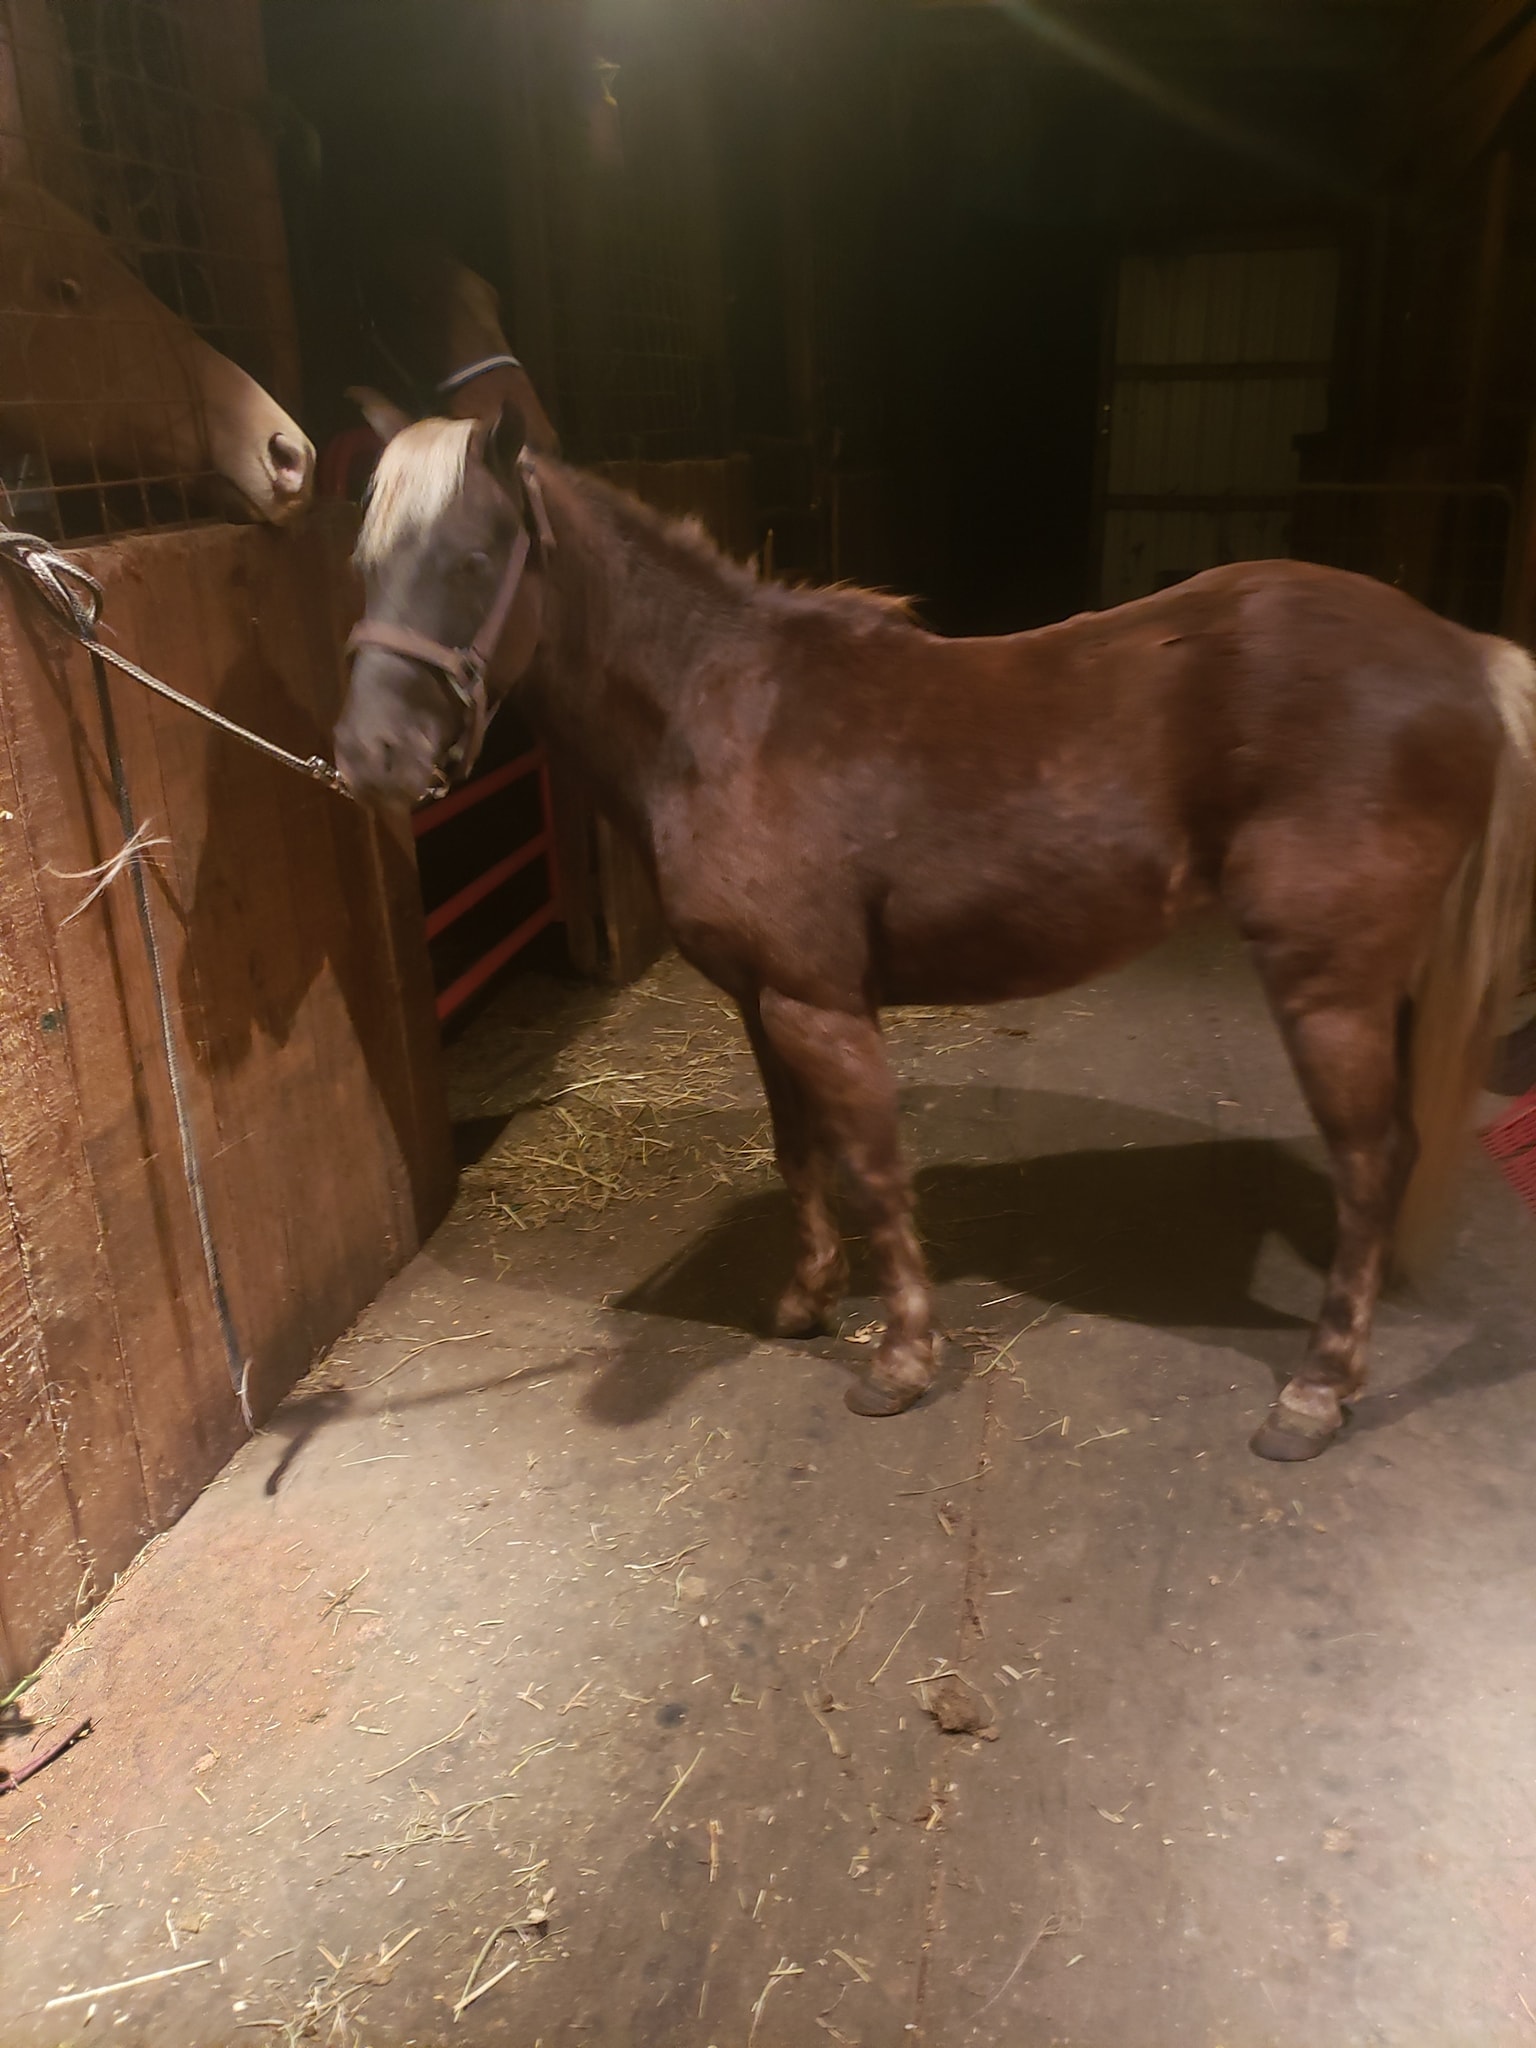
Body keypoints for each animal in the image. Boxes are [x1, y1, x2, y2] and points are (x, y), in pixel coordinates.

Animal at [333, 399, 1536, 1462]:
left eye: (476, 556)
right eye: (362, 565)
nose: (371, 757)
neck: (724, 714)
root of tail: (1464, 652)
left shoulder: (820, 1003)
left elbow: (873, 1167)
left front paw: (901, 1360)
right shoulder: (762, 1002)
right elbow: (798, 1151)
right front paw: (806, 1299)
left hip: (1326, 987)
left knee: (1371, 1160)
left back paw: (1315, 1393)